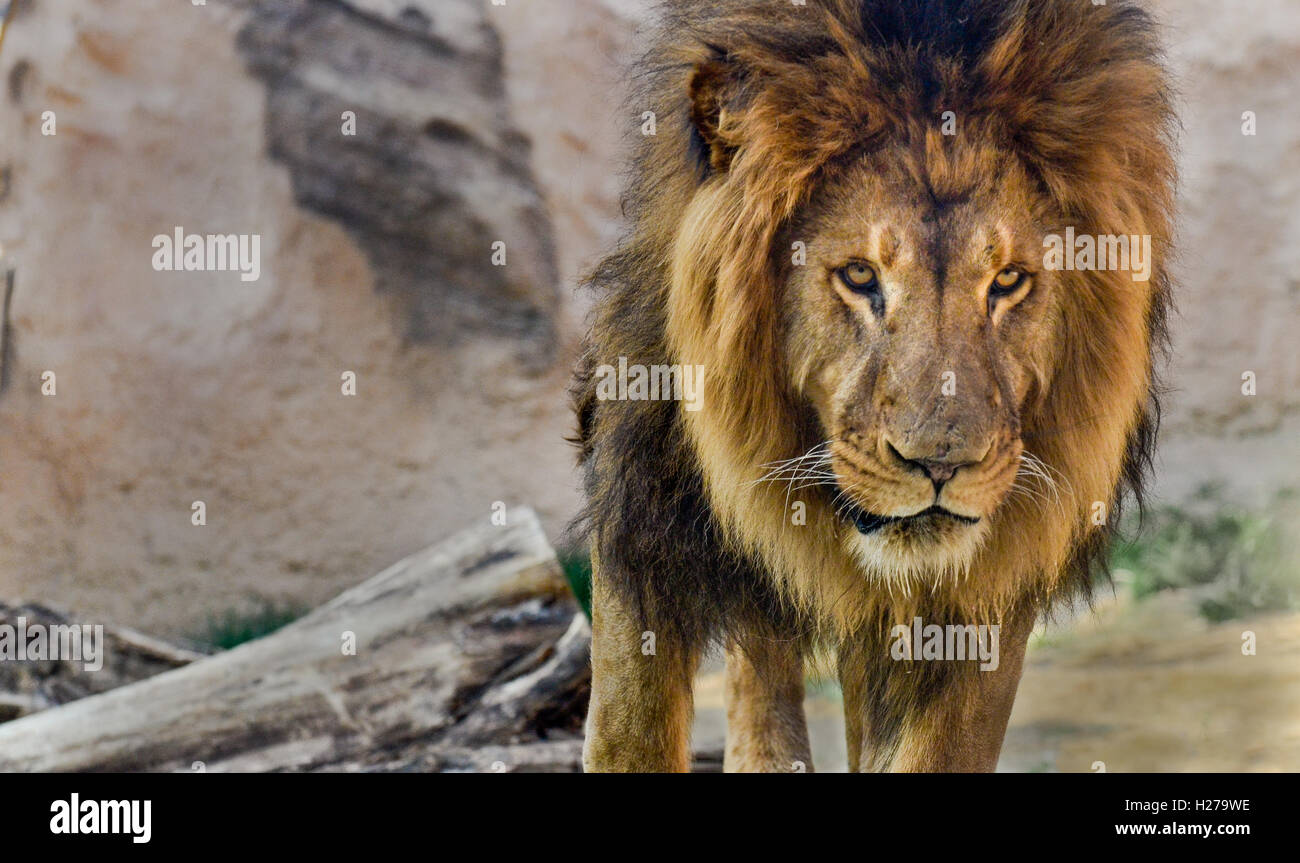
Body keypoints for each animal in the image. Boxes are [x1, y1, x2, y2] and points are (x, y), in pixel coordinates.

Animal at [572, 0, 1175, 772]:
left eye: (1008, 281)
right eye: (860, 276)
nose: (941, 465)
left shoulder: (984, 586)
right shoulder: (641, 505)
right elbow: (631, 725)